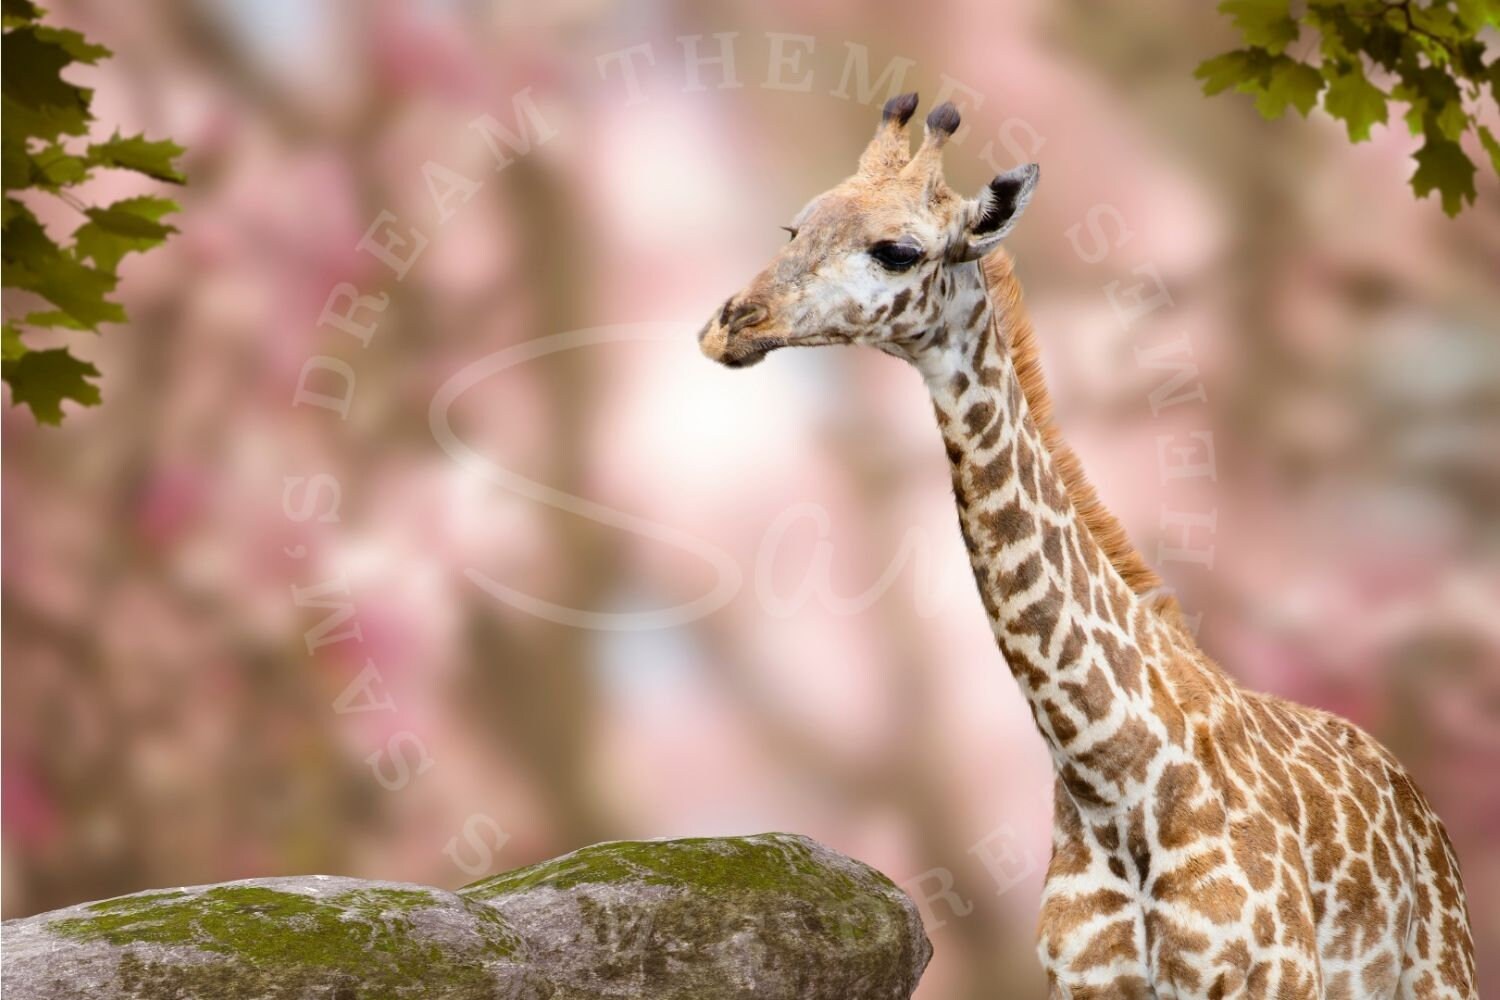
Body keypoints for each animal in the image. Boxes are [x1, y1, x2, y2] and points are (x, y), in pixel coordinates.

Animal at [698, 94, 1477, 999]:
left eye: (898, 251)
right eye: (795, 227)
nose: (729, 325)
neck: (1109, 777)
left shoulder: (1269, 977)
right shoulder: (1083, 984)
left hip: (1439, 972)